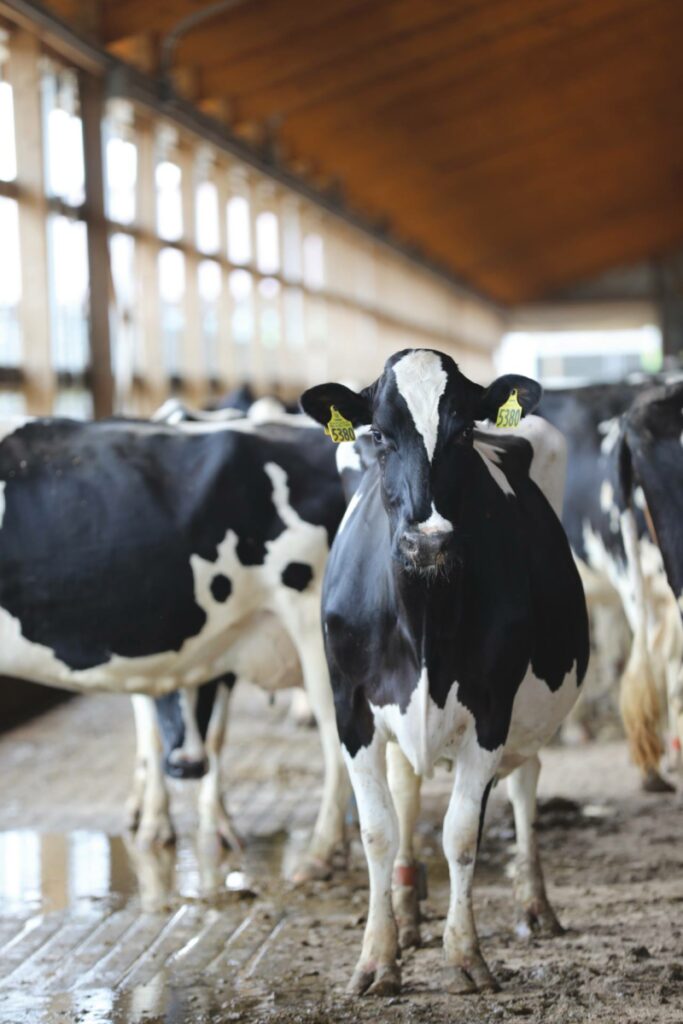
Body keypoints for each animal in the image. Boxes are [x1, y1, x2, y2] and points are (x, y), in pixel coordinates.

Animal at [0, 412, 350, 877]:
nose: (186, 766)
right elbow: (156, 732)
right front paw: (157, 825)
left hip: (315, 626)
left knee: (338, 737)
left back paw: (321, 851)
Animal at [300, 348, 589, 995]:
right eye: (379, 435)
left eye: (462, 434)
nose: (427, 542)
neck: (422, 618)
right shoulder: (351, 708)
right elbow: (378, 831)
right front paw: (377, 957)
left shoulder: (492, 707)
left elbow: (461, 833)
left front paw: (465, 956)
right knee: (407, 792)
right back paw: (407, 913)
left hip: (527, 709)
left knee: (525, 784)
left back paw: (535, 904)